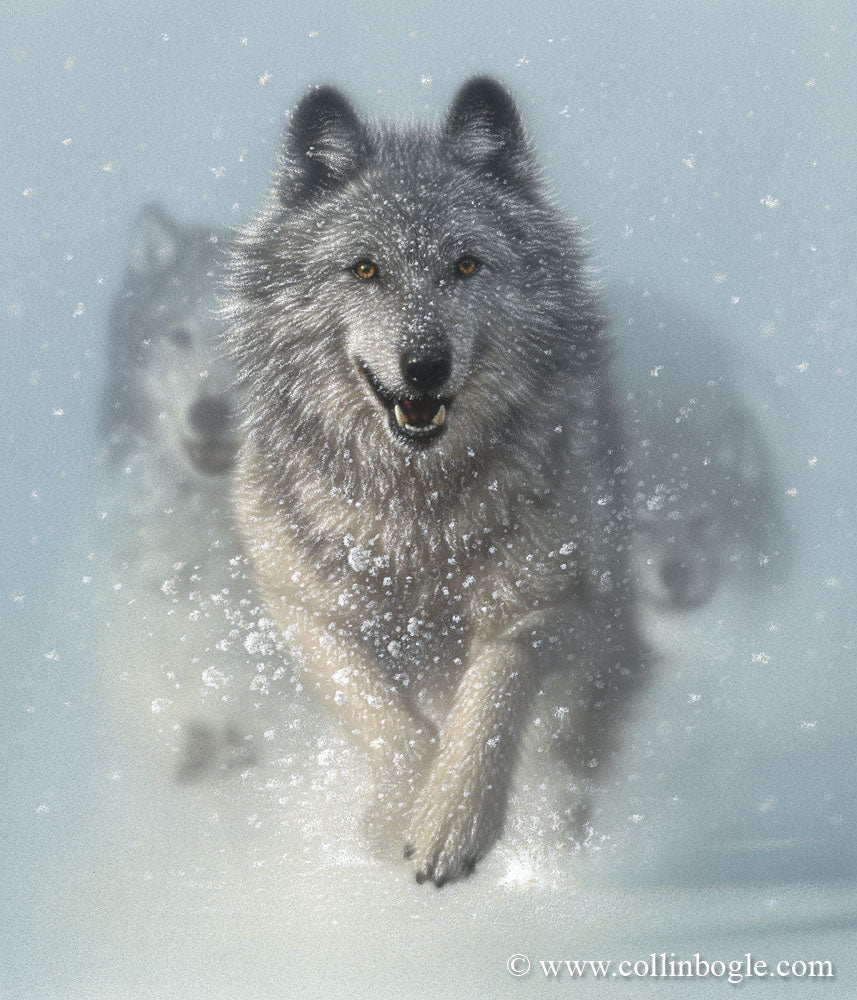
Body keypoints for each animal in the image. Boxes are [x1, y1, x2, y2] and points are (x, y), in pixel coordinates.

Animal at [224, 78, 649, 886]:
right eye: (364, 270)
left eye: (466, 266)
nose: (424, 364)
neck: (415, 516)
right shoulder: (300, 608)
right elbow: (378, 712)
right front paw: (400, 808)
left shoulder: (562, 602)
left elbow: (494, 684)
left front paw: (453, 817)